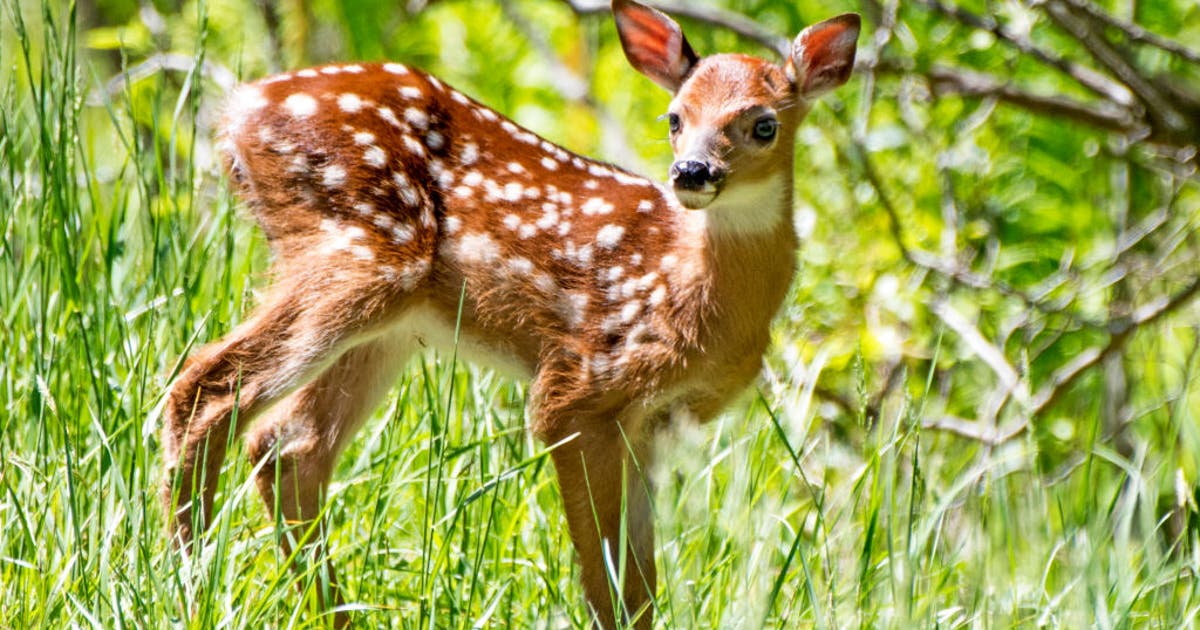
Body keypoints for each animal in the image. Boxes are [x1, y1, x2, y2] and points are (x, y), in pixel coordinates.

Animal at [160, 1, 859, 627]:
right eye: (675, 117)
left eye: (764, 124)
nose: (691, 171)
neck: (695, 296)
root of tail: (241, 108)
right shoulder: (577, 386)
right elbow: (608, 585)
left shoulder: (651, 424)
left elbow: (641, 586)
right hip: (360, 251)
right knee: (206, 389)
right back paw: (191, 591)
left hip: (392, 318)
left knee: (288, 445)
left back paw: (325, 612)